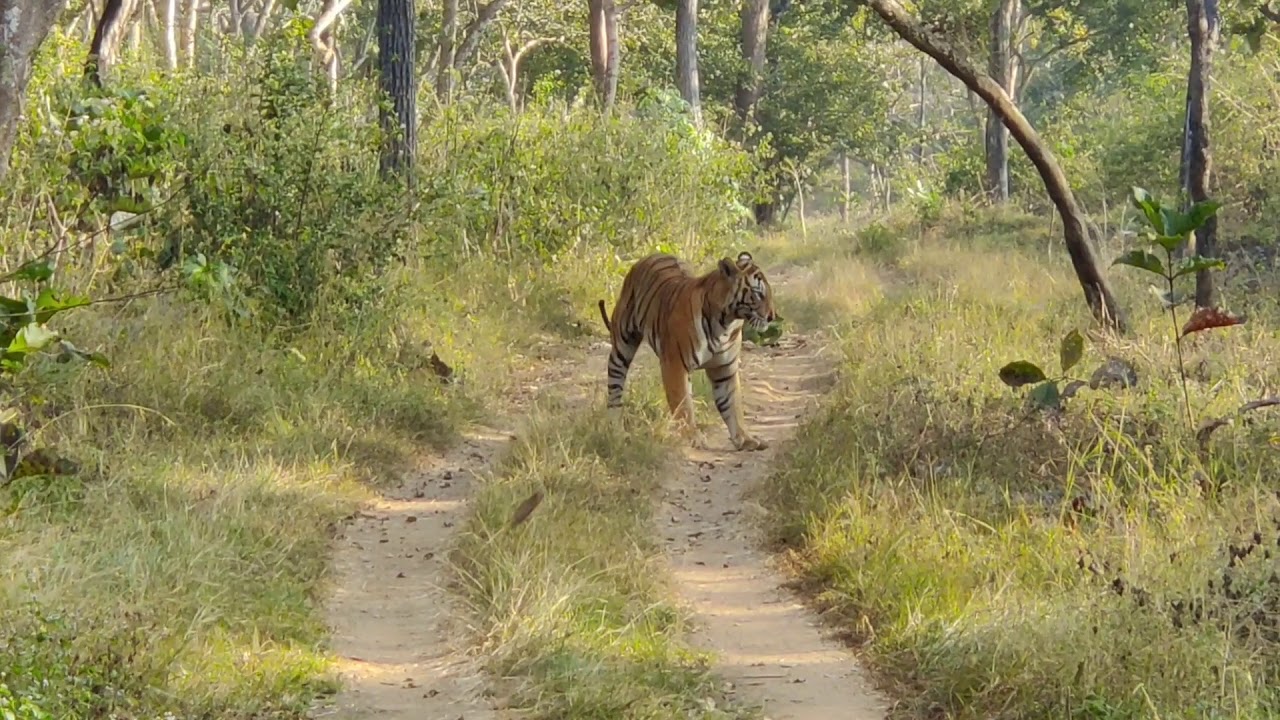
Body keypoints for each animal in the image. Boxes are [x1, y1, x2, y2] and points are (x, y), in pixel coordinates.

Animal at [596, 250, 776, 451]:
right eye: (758, 294)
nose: (772, 316)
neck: (726, 324)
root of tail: (649, 256)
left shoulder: (725, 369)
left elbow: (732, 405)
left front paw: (745, 439)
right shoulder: (675, 364)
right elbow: (682, 403)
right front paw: (692, 436)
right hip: (622, 344)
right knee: (615, 386)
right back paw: (616, 430)